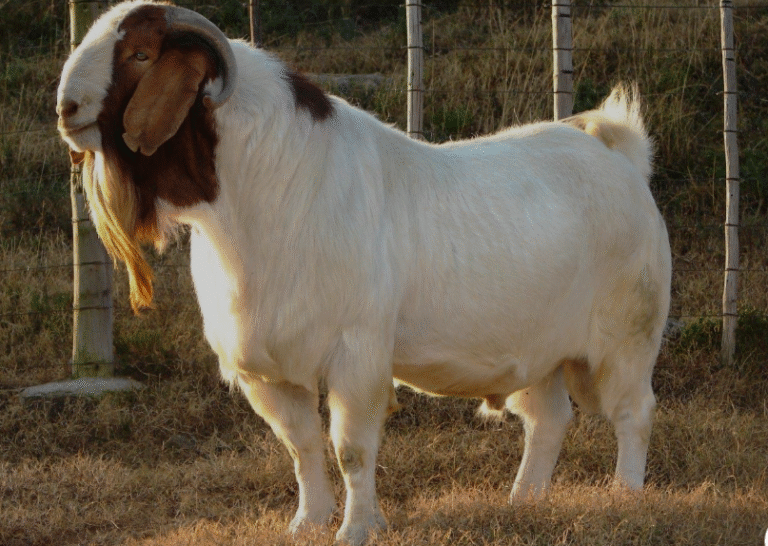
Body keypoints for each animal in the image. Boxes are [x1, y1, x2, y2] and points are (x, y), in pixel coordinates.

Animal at [56, 2, 672, 544]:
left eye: (139, 53)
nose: (66, 108)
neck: (268, 188)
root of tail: (621, 157)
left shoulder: (357, 354)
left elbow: (352, 447)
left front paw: (356, 528)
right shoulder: (268, 370)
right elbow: (301, 446)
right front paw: (307, 523)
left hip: (627, 335)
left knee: (633, 412)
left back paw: (624, 495)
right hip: (539, 350)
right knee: (548, 419)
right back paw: (523, 501)